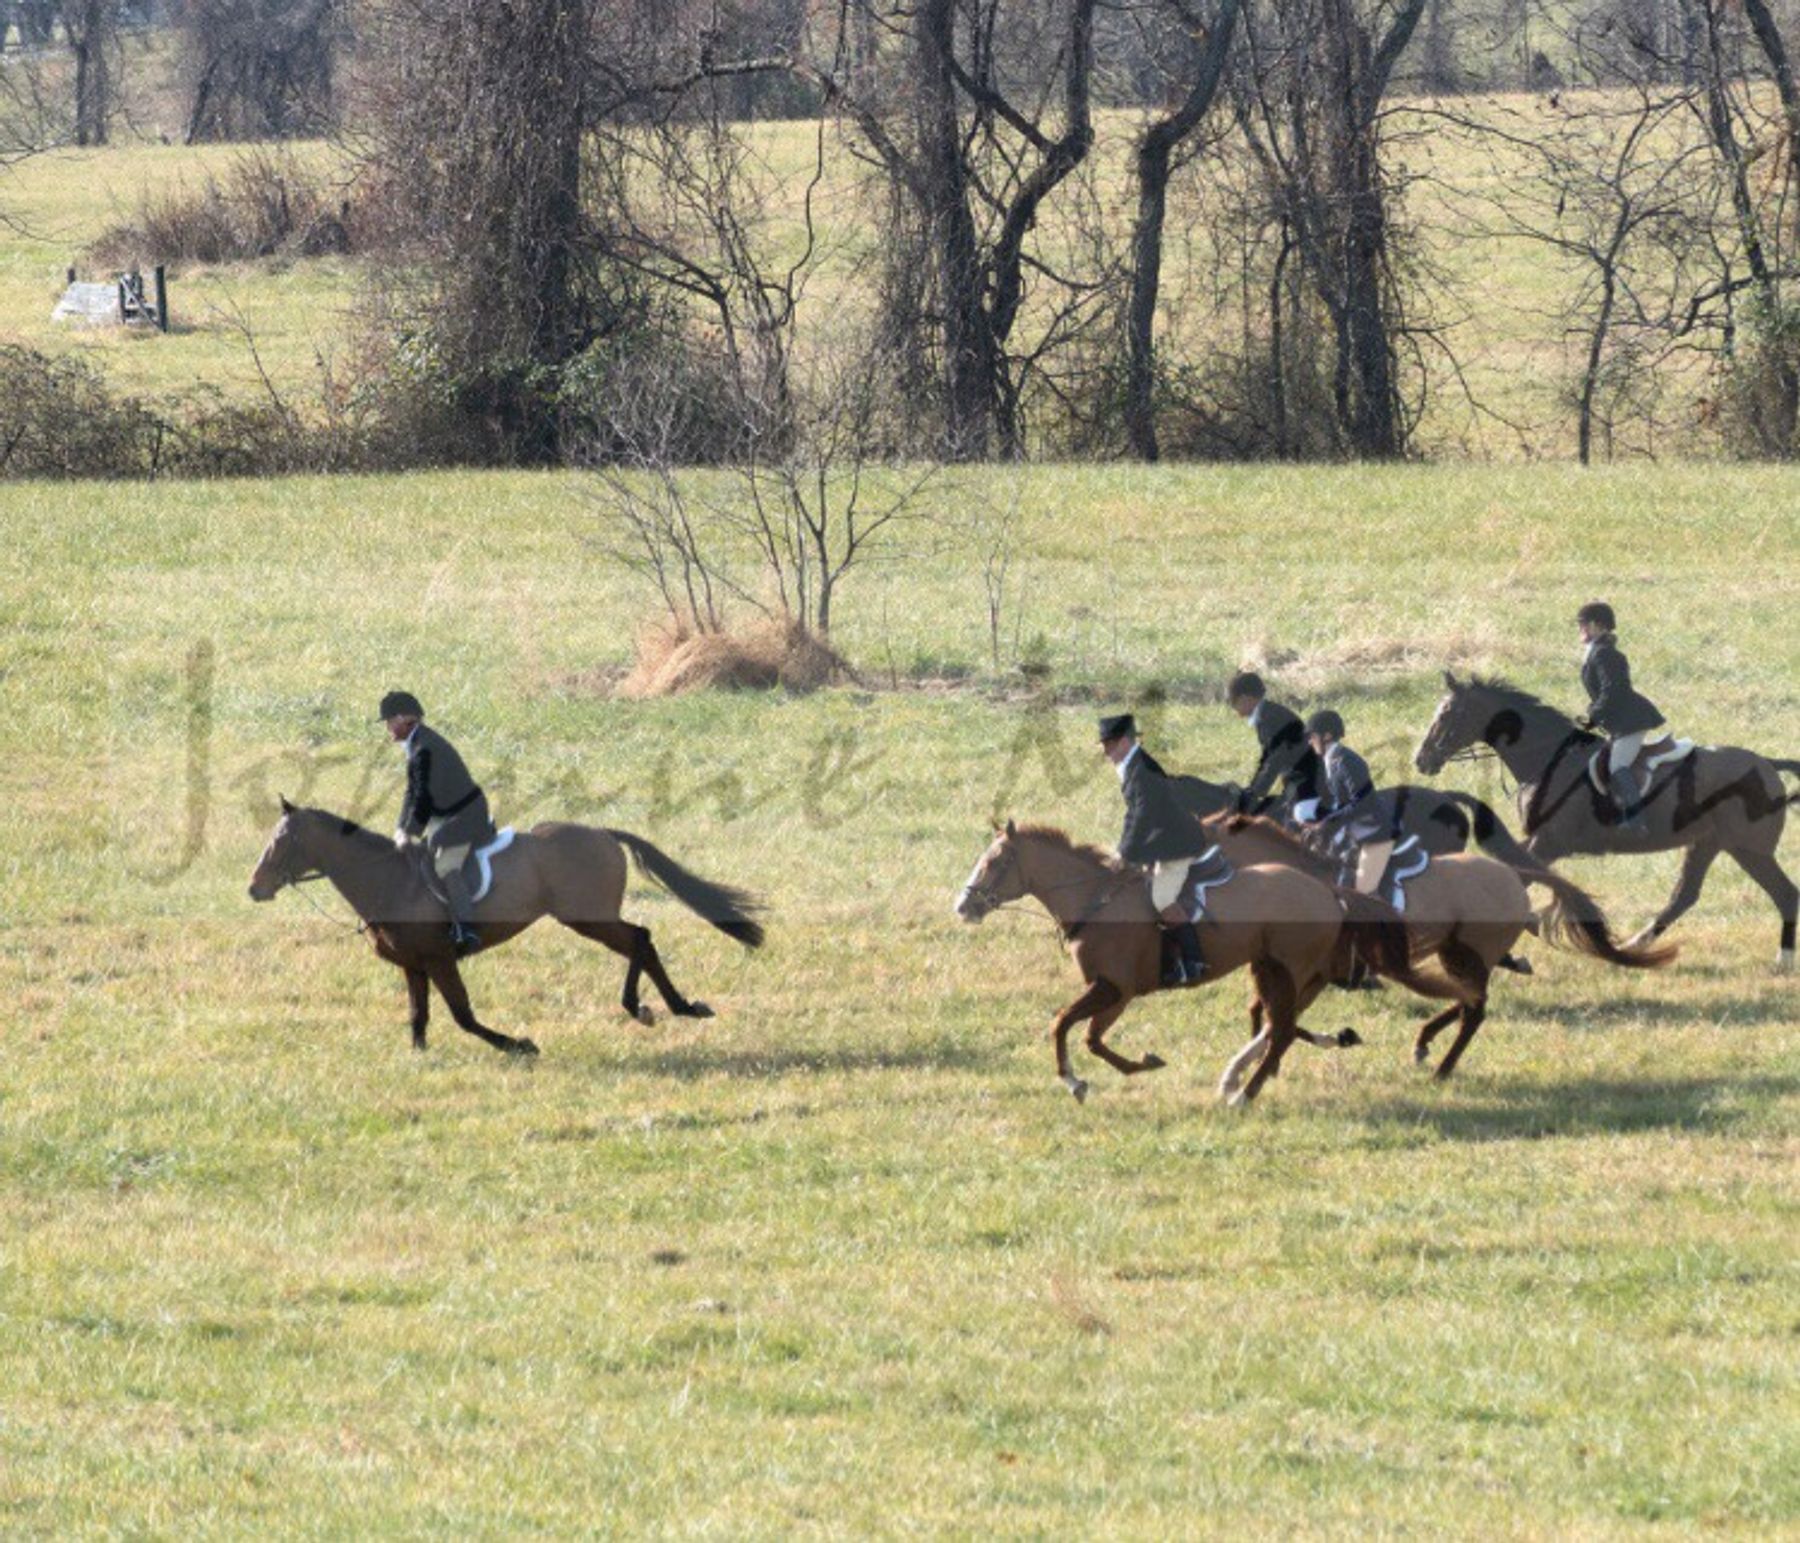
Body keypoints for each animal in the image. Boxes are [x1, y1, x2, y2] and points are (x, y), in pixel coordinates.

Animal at [248, 799, 765, 1057]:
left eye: (282, 841)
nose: (255, 888)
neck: (387, 880)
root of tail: (603, 832)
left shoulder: (439, 958)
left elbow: (463, 1016)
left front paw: (520, 1045)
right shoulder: (413, 964)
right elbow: (419, 1017)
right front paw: (419, 1059)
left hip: (588, 917)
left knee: (639, 938)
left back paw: (648, 1007)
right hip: (590, 917)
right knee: (641, 939)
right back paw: (674, 1007)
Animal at [953, 820, 1413, 1106]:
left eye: (994, 862)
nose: (964, 906)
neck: (1096, 901)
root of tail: (1327, 891)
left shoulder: (1114, 988)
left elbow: (1065, 1024)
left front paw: (1073, 1081)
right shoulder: (1113, 992)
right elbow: (1091, 1038)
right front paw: (1142, 1063)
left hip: (1287, 971)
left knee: (1280, 1029)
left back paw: (1242, 1094)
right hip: (1275, 969)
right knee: (1276, 1024)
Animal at [1202, 813, 1677, 1086]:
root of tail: (1513, 875)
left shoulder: (1315, 972)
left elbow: (1278, 1018)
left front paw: (1262, 1065)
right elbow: (1265, 1014)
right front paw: (1262, 1064)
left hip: (1467, 953)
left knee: (1474, 1008)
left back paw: (1441, 1066)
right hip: (1458, 954)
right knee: (1467, 999)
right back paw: (1425, 1043)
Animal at [1415, 672, 1800, 969]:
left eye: (1446, 713)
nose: (1421, 760)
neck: (1546, 760)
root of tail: (1767, 764)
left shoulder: (1550, 842)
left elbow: (1522, 876)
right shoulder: (1537, 841)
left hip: (1749, 849)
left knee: (1785, 894)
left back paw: (1782, 961)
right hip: (1707, 842)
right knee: (1684, 896)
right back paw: (1634, 946)